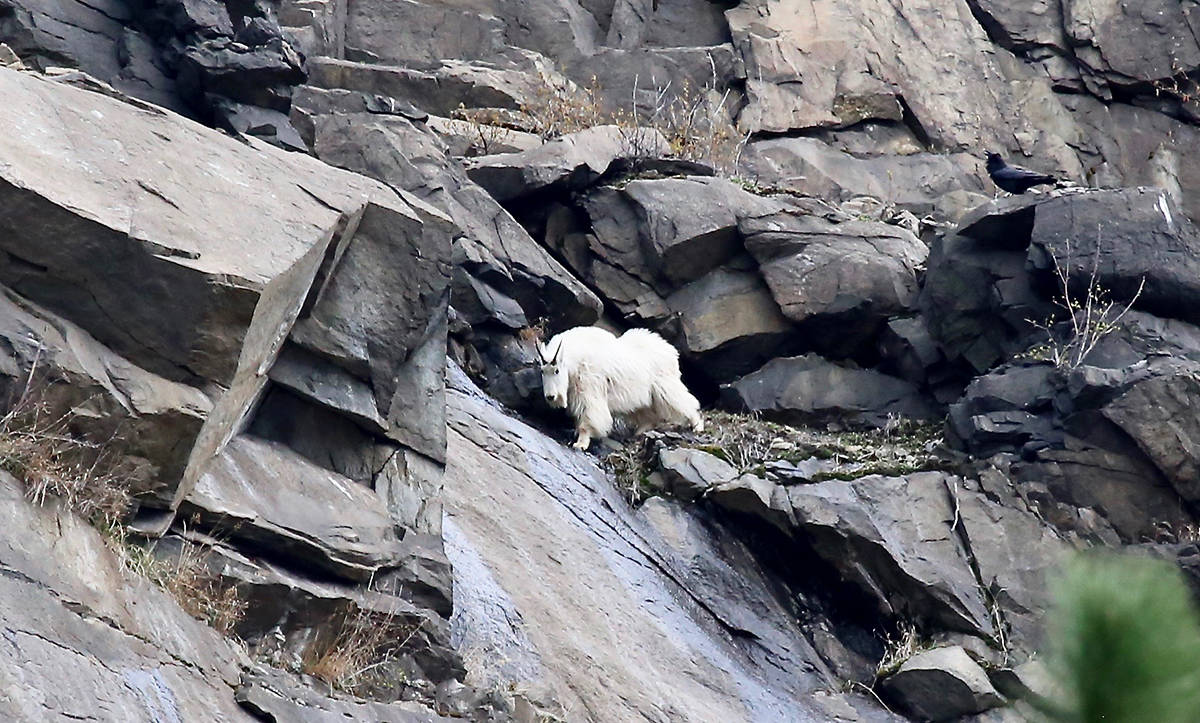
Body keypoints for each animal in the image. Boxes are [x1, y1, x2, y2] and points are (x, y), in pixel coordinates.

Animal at [537, 326, 704, 450]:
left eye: (556, 370)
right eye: (542, 371)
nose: (551, 397)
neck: (576, 358)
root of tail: (671, 352)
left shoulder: (590, 388)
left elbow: (589, 418)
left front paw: (581, 444)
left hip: (665, 385)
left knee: (683, 401)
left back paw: (697, 425)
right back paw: (639, 432)